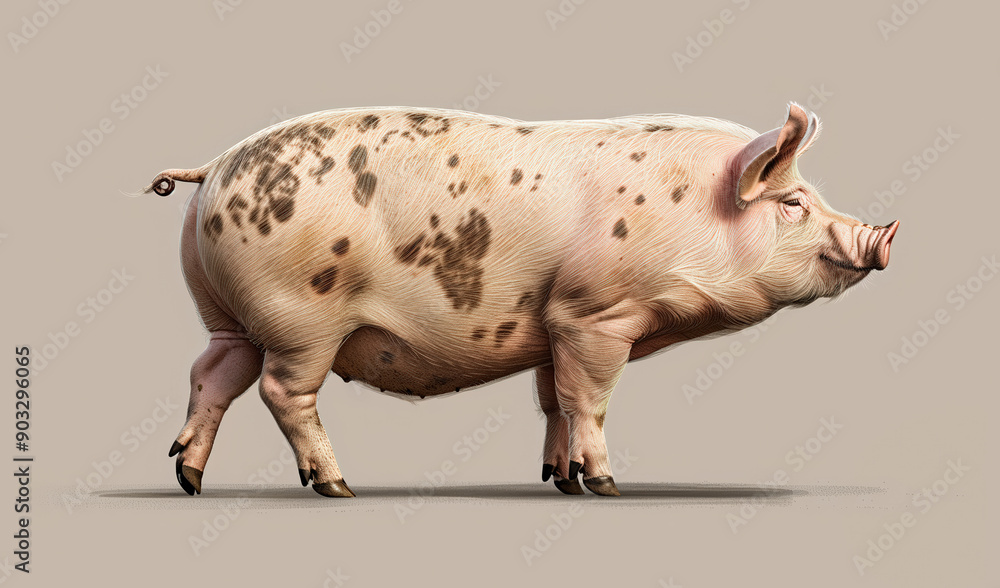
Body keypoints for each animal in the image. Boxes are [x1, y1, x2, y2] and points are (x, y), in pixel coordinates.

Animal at [145, 103, 897, 498]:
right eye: (794, 203)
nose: (884, 235)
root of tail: (214, 168)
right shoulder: (594, 314)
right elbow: (589, 400)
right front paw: (607, 486)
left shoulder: (553, 326)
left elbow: (554, 400)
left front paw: (557, 479)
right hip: (301, 316)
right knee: (283, 392)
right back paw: (335, 487)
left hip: (230, 317)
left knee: (211, 376)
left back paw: (188, 478)